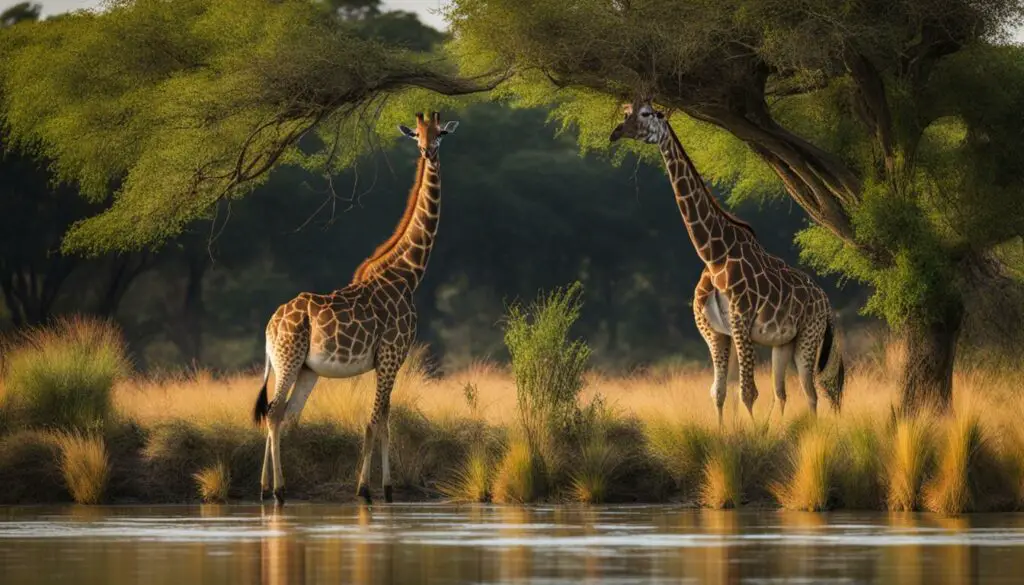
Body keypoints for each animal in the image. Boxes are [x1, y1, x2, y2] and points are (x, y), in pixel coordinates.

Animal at [252, 111, 459, 505]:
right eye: (417, 135)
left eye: (441, 133)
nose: (429, 151)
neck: (407, 275)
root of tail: (270, 325)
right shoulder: (391, 355)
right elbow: (373, 420)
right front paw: (364, 489)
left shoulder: (392, 360)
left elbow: (387, 419)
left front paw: (389, 489)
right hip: (288, 359)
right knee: (272, 412)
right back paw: (276, 490)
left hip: (306, 369)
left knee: (285, 414)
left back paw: (267, 487)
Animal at [610, 101, 845, 425]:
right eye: (625, 114)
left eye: (645, 114)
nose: (616, 133)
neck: (714, 256)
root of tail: (826, 302)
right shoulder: (715, 331)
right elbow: (719, 393)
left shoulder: (741, 321)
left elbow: (747, 393)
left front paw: (753, 434)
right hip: (782, 343)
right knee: (782, 392)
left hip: (810, 335)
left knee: (811, 392)